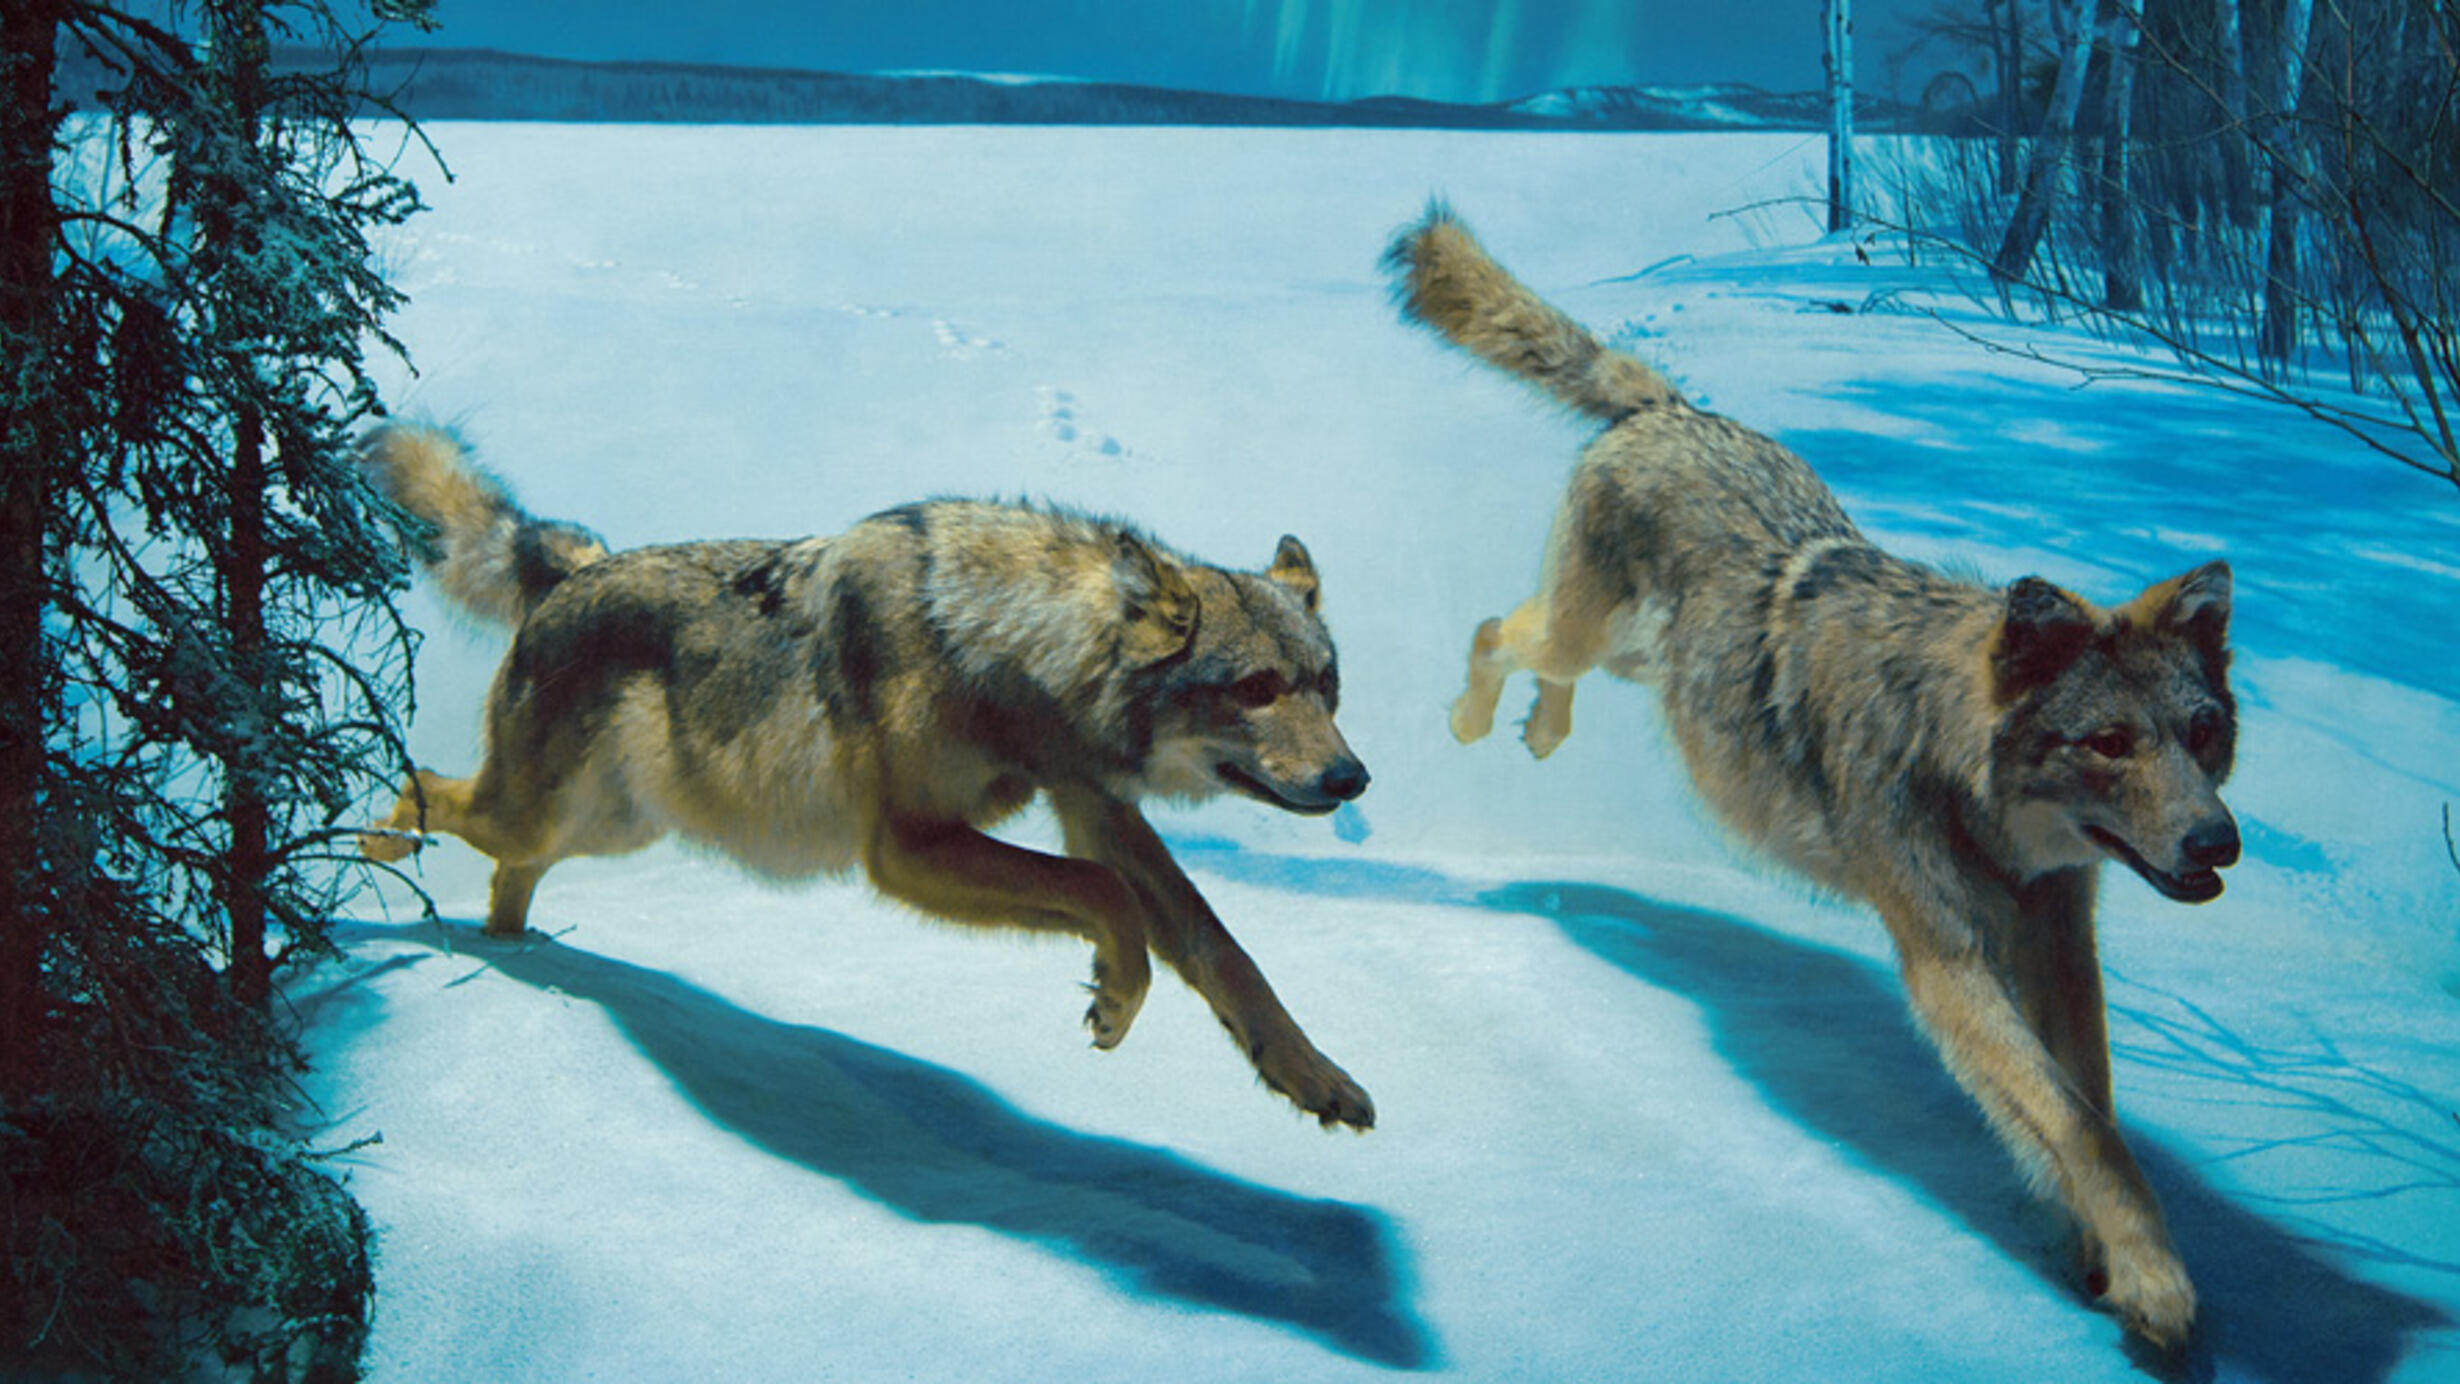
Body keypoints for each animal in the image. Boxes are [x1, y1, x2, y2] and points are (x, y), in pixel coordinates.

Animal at [356, 424, 1375, 1128]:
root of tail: (578, 565)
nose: (1353, 779)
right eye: (1257, 687)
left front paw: (1313, 1077)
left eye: (1327, 686)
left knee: (505, 866)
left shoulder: (1093, 806)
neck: (1002, 646)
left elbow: (1218, 947)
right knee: (424, 785)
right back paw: (378, 857)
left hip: (612, 828)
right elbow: (1104, 896)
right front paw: (1116, 997)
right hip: (556, 815)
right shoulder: (907, 849)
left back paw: (515, 951)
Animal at [1387, 206, 2240, 1348]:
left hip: (1647, 671)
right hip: (1593, 634)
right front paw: (2154, 1285)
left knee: (1535, 653)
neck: (1957, 771)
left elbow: (2090, 1110)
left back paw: (1541, 732)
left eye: (2202, 733)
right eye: (2109, 742)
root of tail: (1673, 410)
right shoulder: (1947, 962)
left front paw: (2094, 1256)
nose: (2219, 842)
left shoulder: (2060, 946)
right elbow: (2076, 1124)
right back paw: (1479, 719)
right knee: (1494, 631)